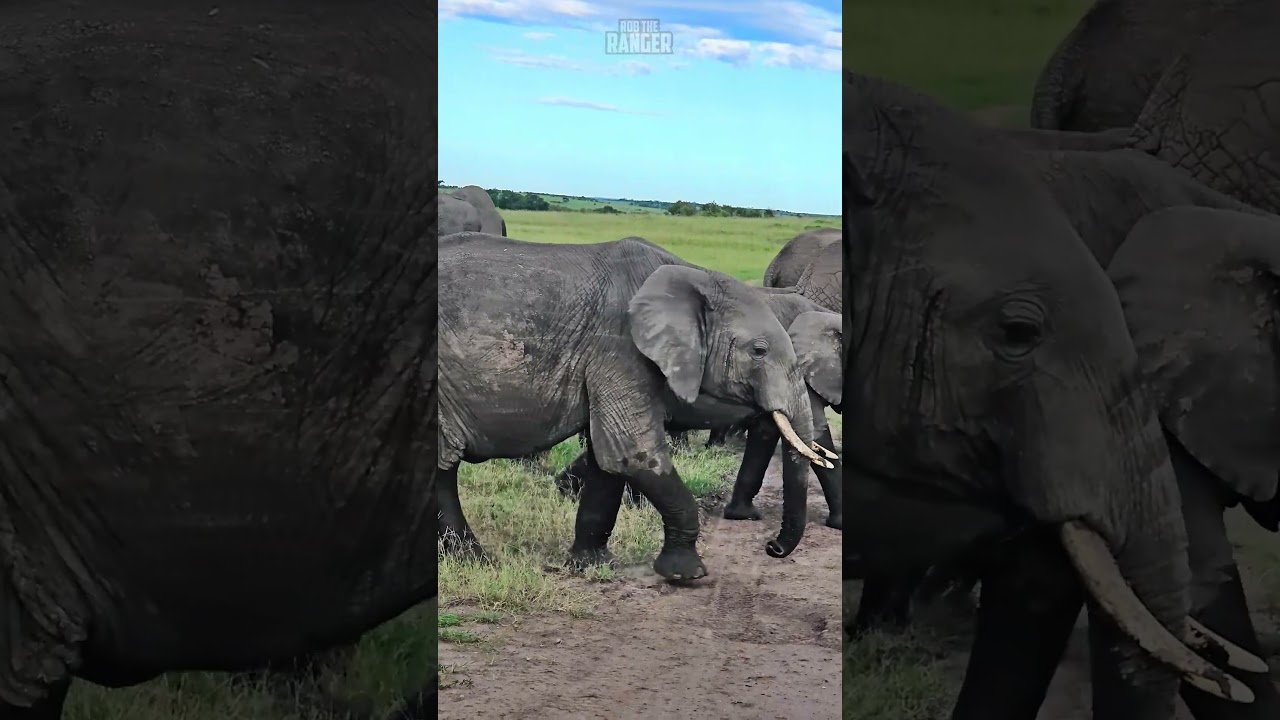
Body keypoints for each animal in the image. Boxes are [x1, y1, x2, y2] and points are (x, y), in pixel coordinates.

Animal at [437, 233, 837, 581]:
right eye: (759, 350)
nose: (771, 547)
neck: (695, 276)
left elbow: (607, 462)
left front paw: (594, 565)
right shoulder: (620, 348)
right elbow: (632, 453)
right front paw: (686, 575)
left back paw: (471, 561)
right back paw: (477, 562)